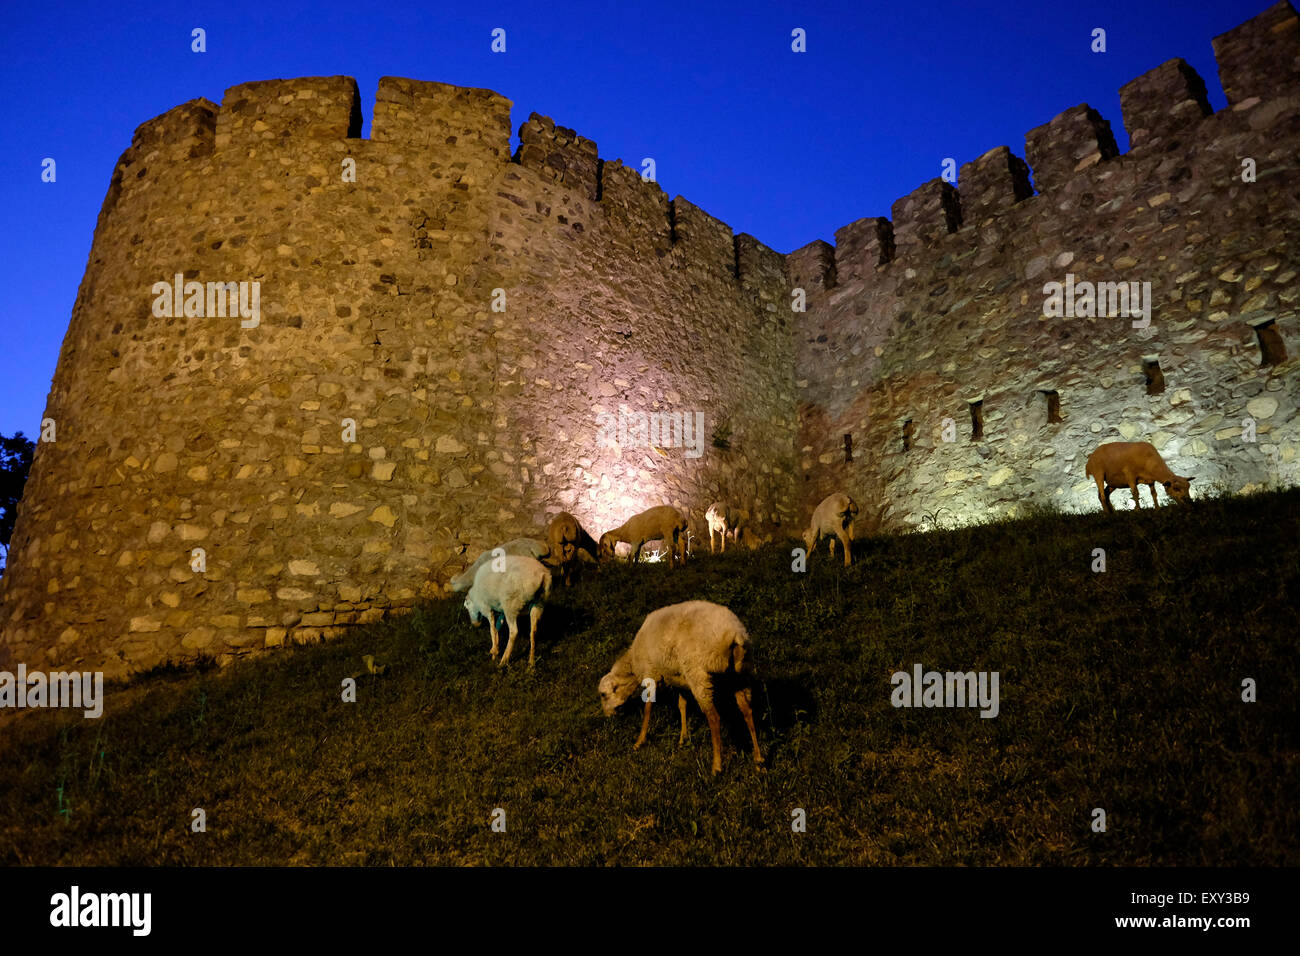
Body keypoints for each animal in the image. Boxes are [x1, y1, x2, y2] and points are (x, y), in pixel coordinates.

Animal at [598, 600, 764, 775]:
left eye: (603, 694)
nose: (608, 717)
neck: (633, 663)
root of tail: (734, 633)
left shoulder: (651, 673)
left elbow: (648, 708)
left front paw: (639, 741)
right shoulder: (677, 679)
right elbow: (682, 705)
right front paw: (682, 738)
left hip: (699, 675)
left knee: (714, 717)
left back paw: (716, 766)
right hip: (741, 674)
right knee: (747, 712)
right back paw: (758, 759)